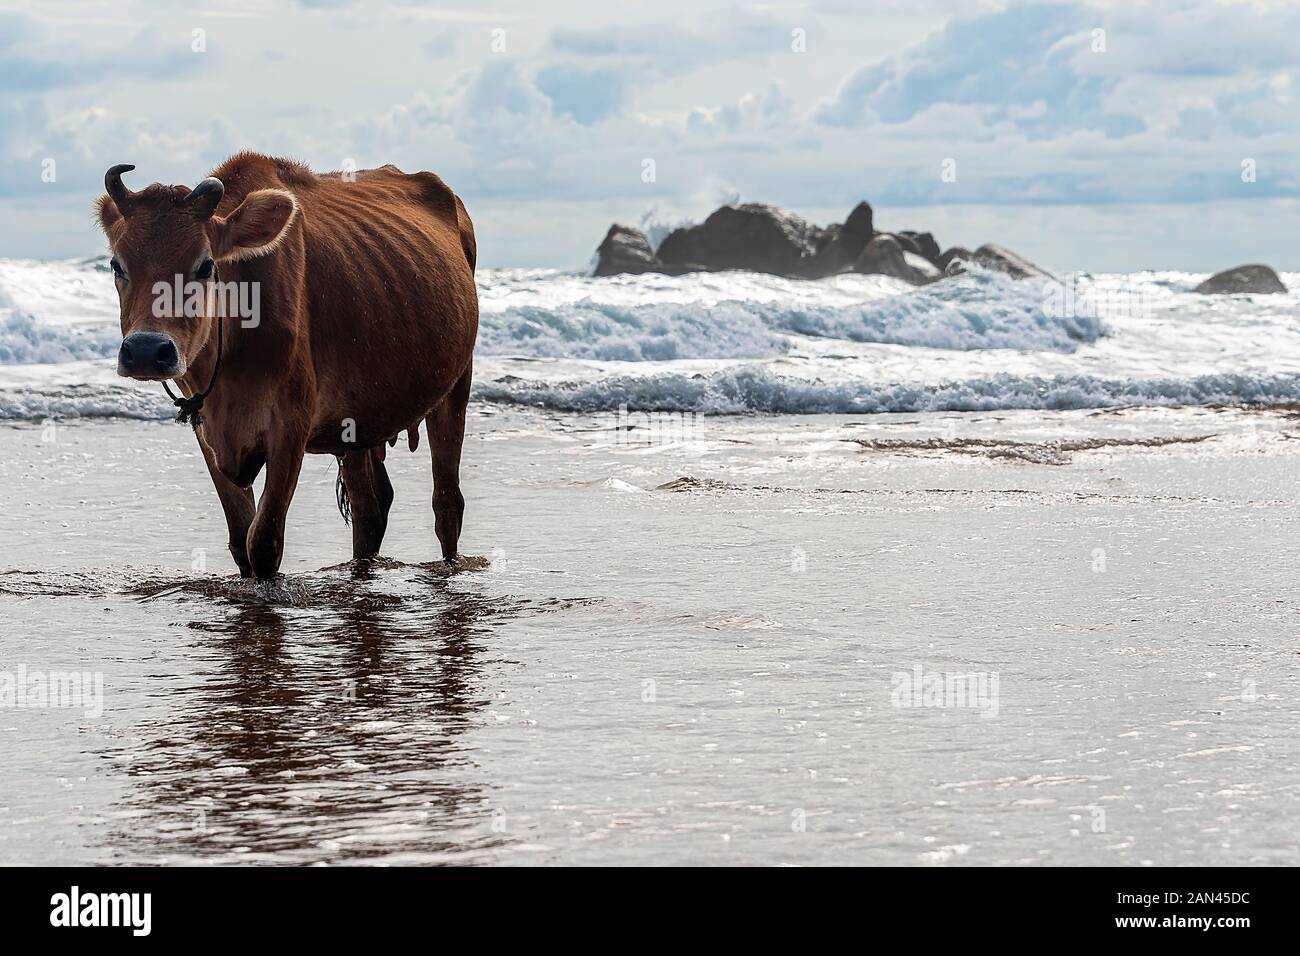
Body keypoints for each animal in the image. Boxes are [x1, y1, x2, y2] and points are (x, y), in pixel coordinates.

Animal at [96, 153, 479, 579]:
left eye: (205, 266)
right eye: (117, 265)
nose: (146, 351)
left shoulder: (290, 424)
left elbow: (263, 542)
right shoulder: (205, 428)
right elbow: (240, 540)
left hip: (456, 384)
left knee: (446, 503)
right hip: (359, 418)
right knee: (370, 508)